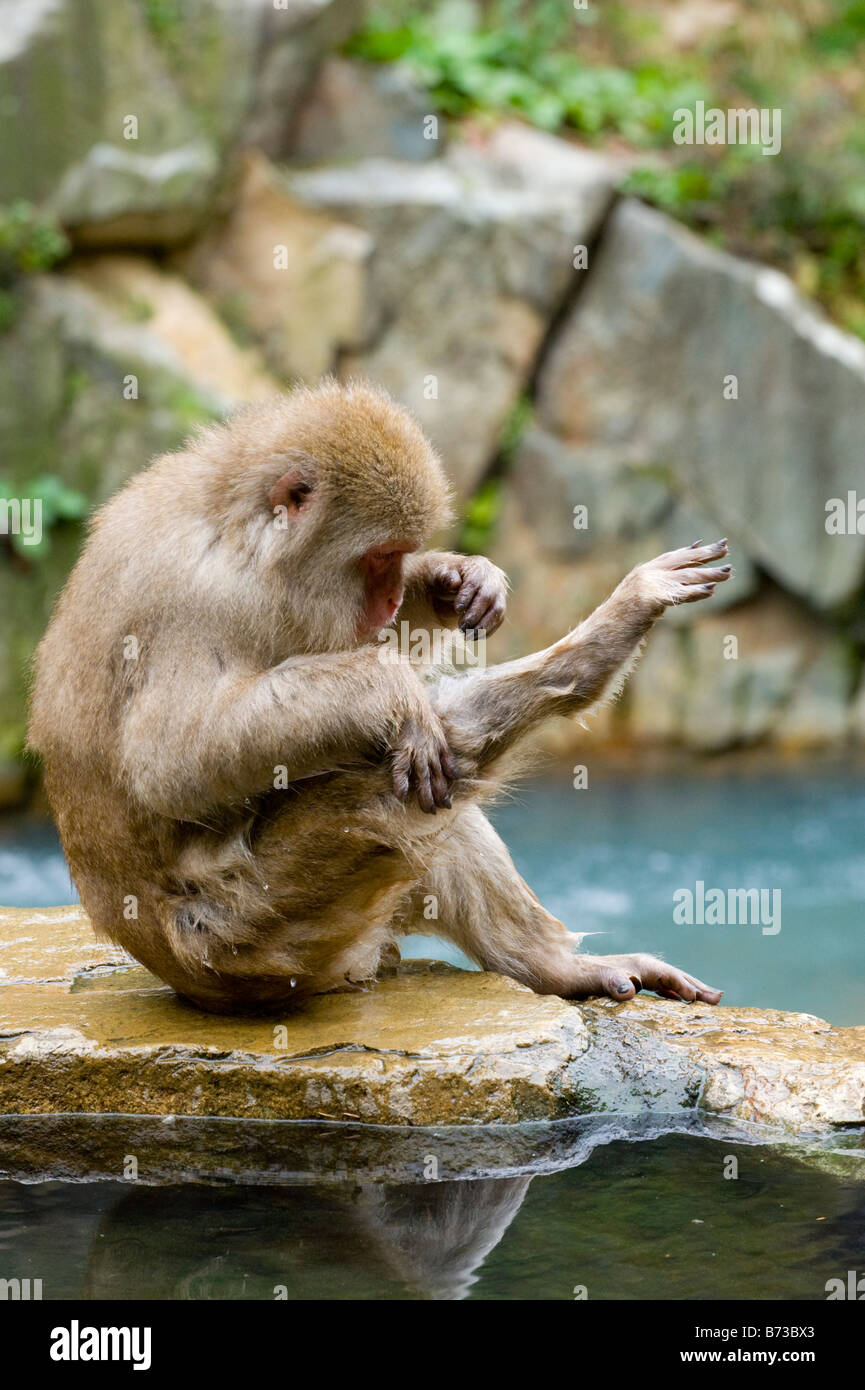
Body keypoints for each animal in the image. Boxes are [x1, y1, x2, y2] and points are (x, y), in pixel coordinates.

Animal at [29, 379, 730, 1013]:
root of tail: (181, 972)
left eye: (400, 555)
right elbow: (171, 764)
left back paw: (555, 965)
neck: (238, 532)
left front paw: (458, 578)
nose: (393, 594)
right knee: (424, 758)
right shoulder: (201, 597)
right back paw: (594, 653)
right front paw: (388, 687)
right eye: (379, 555)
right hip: (255, 923)